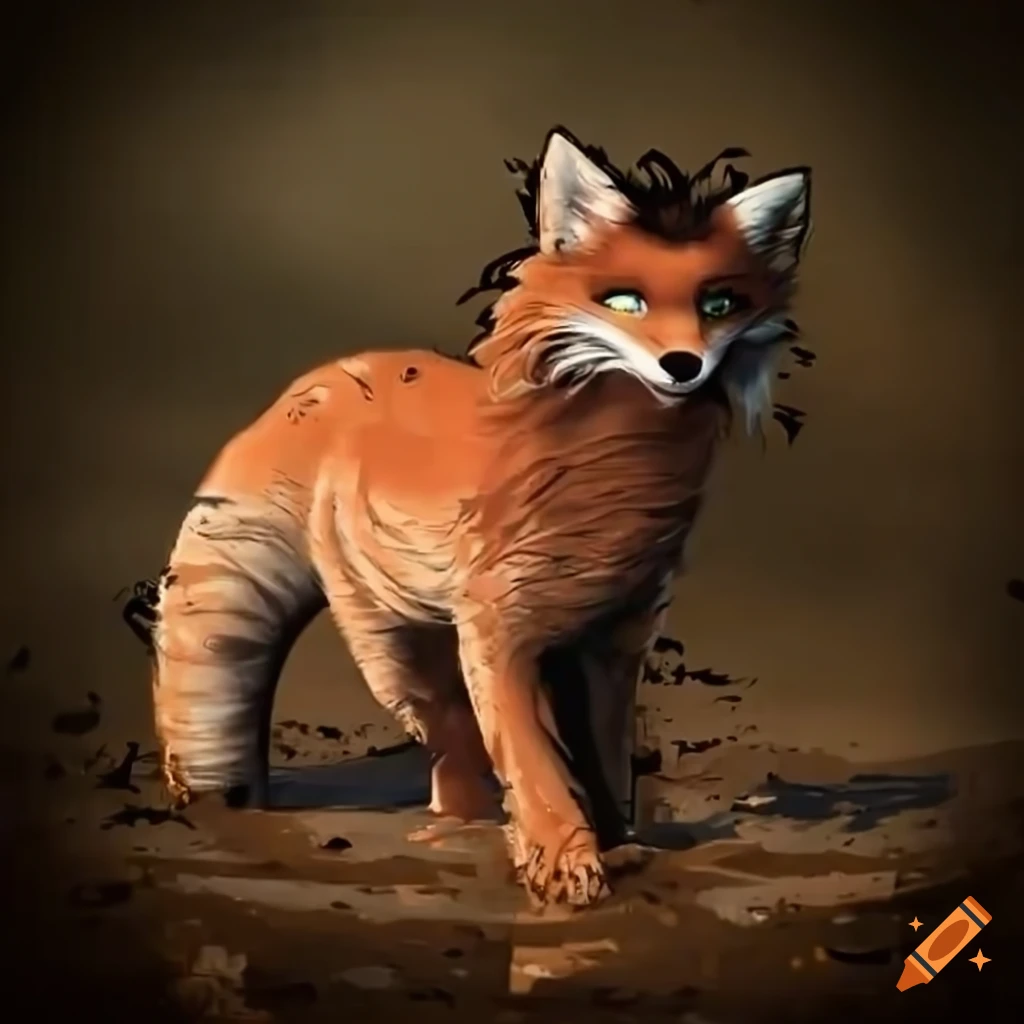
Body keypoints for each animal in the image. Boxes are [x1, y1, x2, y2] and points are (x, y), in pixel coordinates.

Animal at [147, 126, 812, 907]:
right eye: (625, 301)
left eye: (718, 304)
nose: (683, 364)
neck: (608, 487)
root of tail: (326, 382)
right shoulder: (500, 632)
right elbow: (534, 766)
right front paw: (564, 863)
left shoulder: (615, 638)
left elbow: (606, 766)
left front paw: (621, 846)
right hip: (403, 652)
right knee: (455, 762)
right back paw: (460, 836)